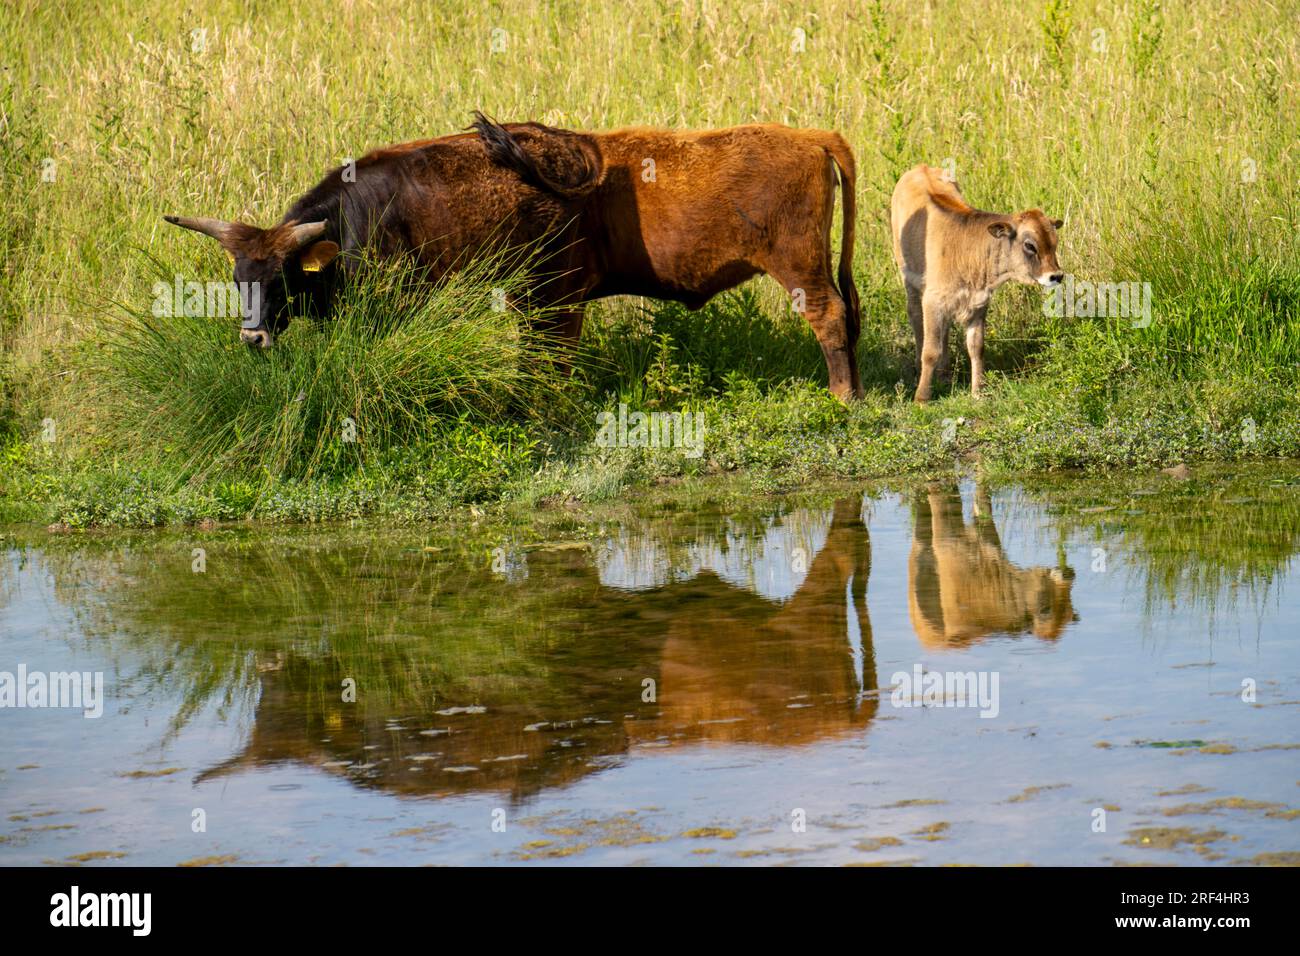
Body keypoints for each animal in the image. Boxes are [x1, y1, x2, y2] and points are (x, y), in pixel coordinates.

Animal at [165, 113, 863, 400]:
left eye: (282, 278)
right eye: (239, 279)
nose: (252, 337)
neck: (365, 214)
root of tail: (809, 136)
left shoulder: (554, 299)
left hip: (801, 270)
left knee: (829, 319)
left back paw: (843, 396)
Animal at [890, 164, 1064, 403]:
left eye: (1054, 243)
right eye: (1030, 245)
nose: (1056, 275)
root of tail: (920, 167)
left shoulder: (979, 303)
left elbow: (976, 347)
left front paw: (978, 391)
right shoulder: (933, 301)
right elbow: (931, 350)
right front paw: (922, 398)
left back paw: (945, 376)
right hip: (910, 281)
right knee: (916, 320)